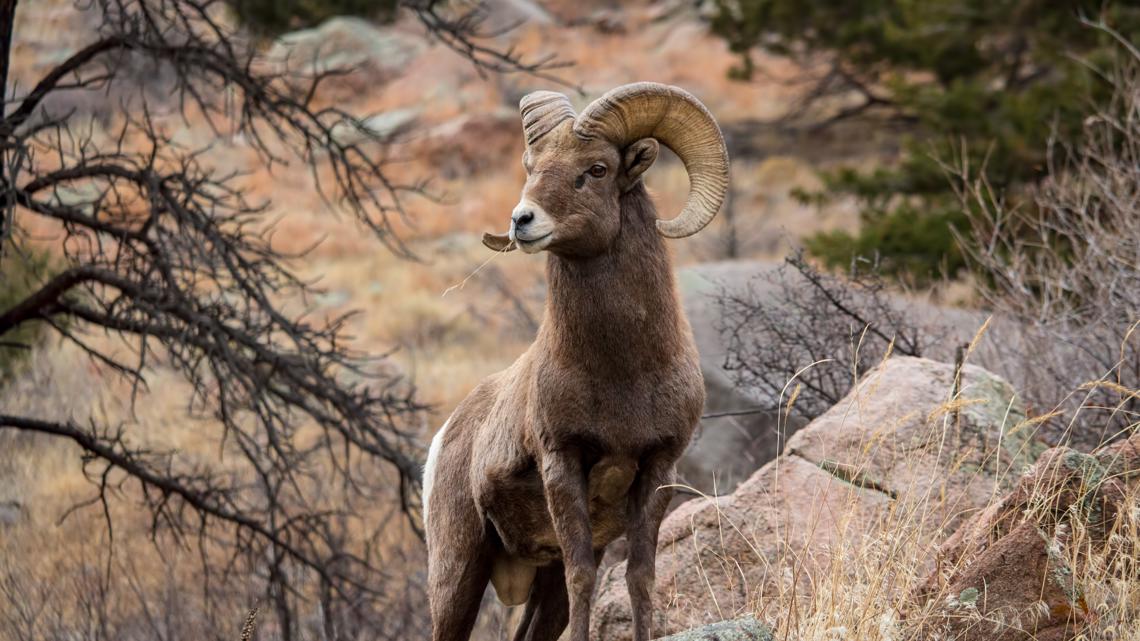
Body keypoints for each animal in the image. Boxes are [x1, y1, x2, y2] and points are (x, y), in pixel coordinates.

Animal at [423, 82, 729, 641]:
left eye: (597, 169)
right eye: (530, 165)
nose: (522, 222)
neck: (622, 374)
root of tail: (448, 431)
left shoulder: (657, 468)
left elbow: (640, 577)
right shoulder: (563, 464)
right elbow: (584, 574)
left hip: (535, 583)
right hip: (457, 571)